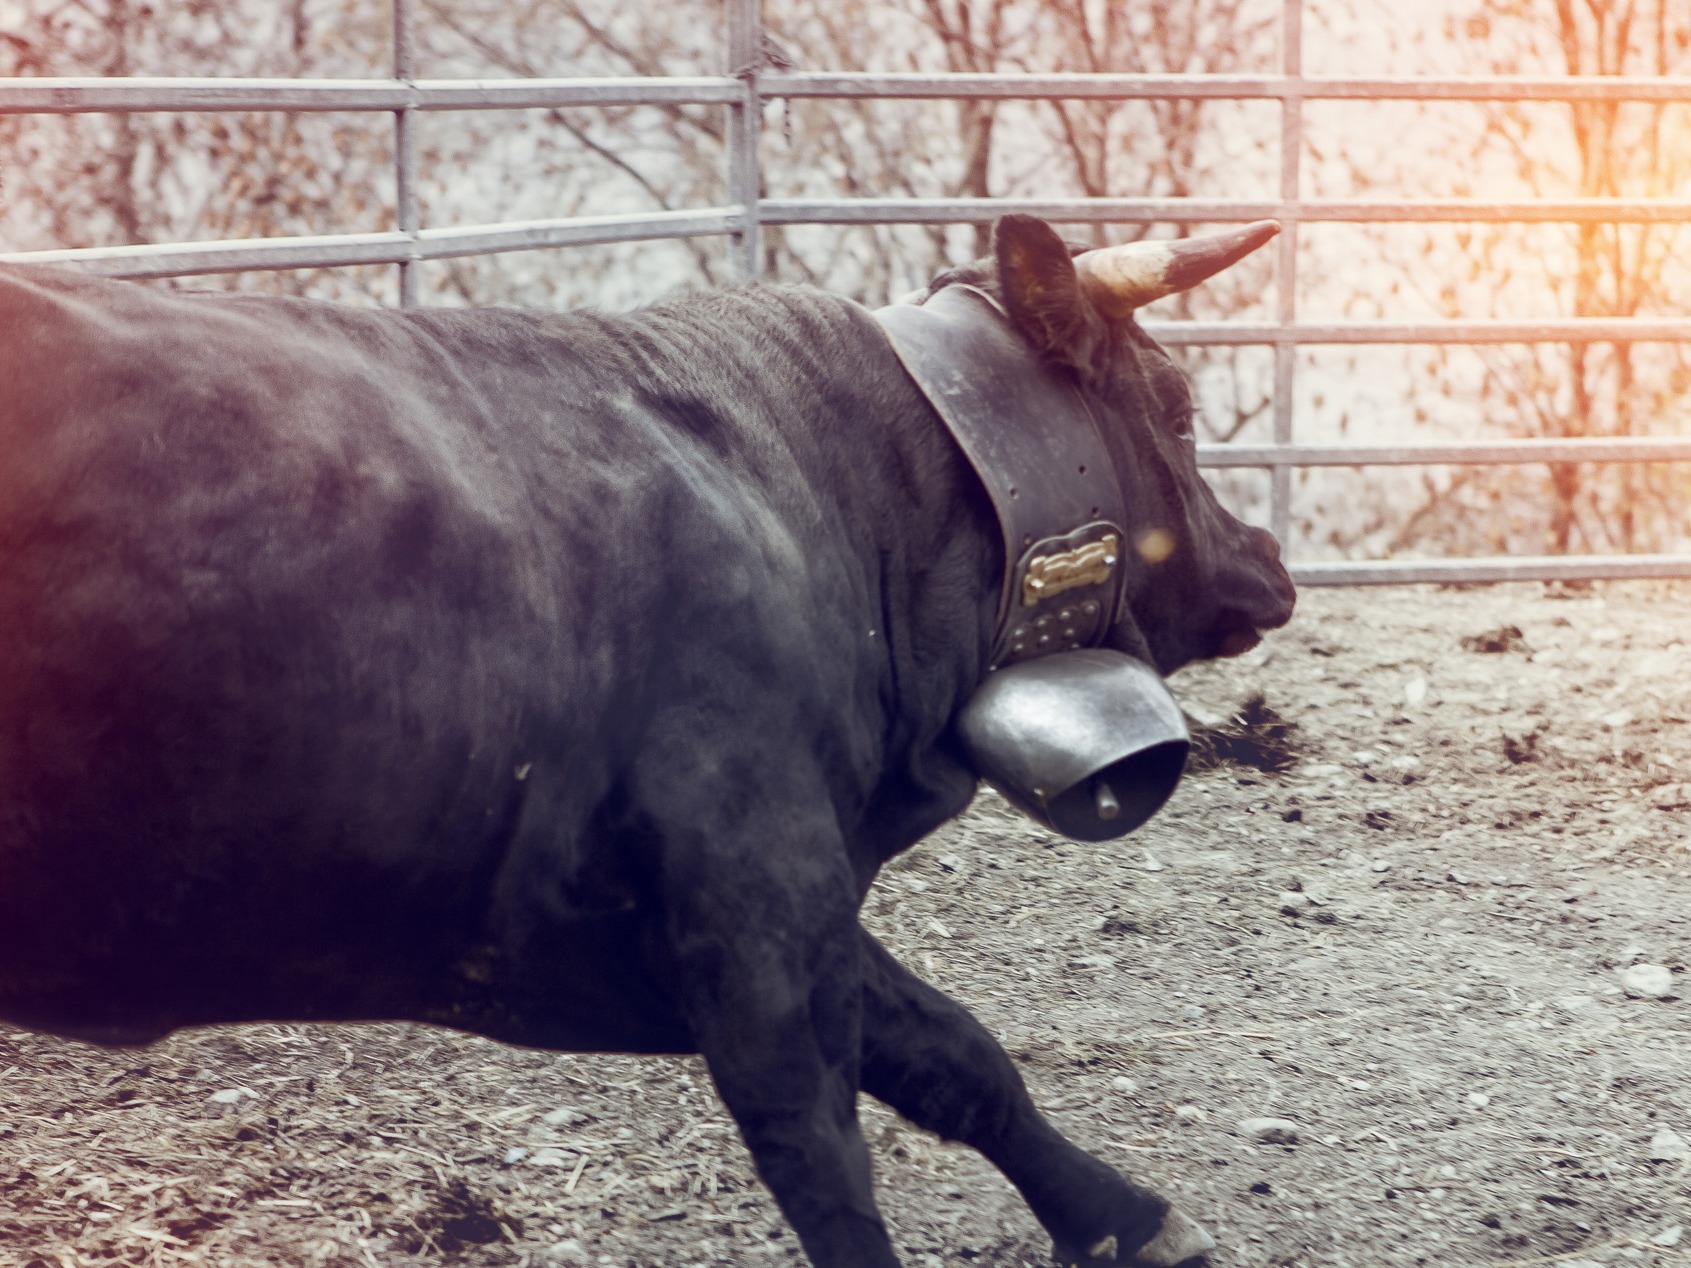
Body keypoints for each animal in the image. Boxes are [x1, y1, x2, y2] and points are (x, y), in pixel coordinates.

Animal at [0, 214, 1294, 1267]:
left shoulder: (731, 910)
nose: (1272, 555)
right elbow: (824, 1156)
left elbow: (951, 1050)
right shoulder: (753, 903)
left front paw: (1119, 1214)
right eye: (1178, 408)